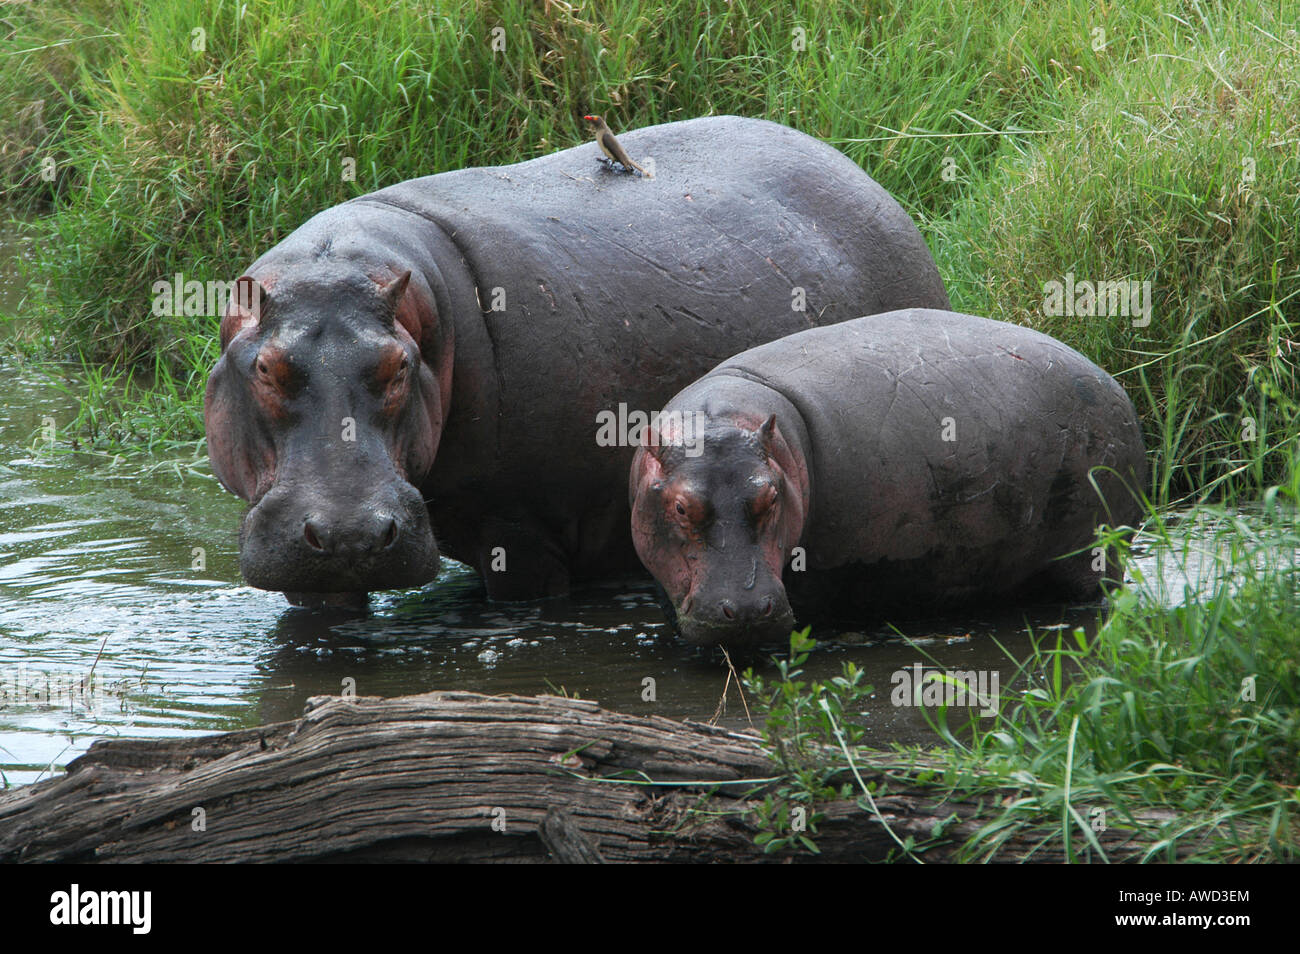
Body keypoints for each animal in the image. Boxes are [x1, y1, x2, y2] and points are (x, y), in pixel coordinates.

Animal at [629, 309, 1147, 648]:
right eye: (680, 506)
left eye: (771, 497)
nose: (749, 611)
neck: (722, 421)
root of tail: (1113, 382)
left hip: (1097, 547)